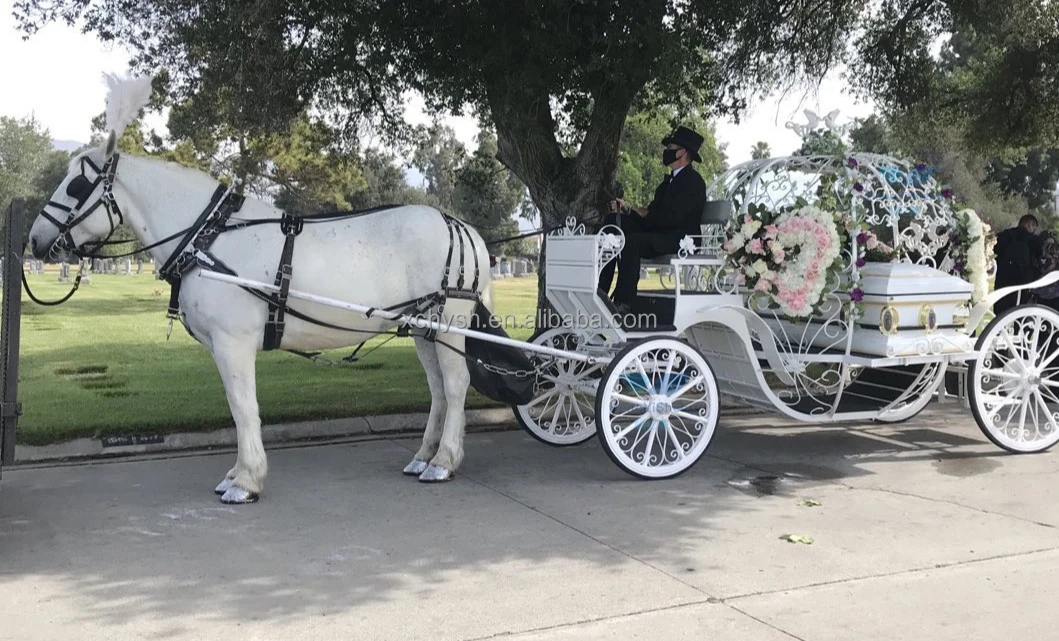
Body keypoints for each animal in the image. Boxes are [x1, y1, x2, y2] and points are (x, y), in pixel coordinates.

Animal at [26, 74, 494, 504]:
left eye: (76, 185)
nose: (35, 240)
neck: (208, 237)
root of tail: (460, 226)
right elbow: (238, 409)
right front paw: (236, 474)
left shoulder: (232, 343)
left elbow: (243, 407)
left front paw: (246, 480)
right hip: (422, 329)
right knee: (437, 389)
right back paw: (424, 456)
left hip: (449, 324)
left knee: (455, 385)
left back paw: (444, 461)